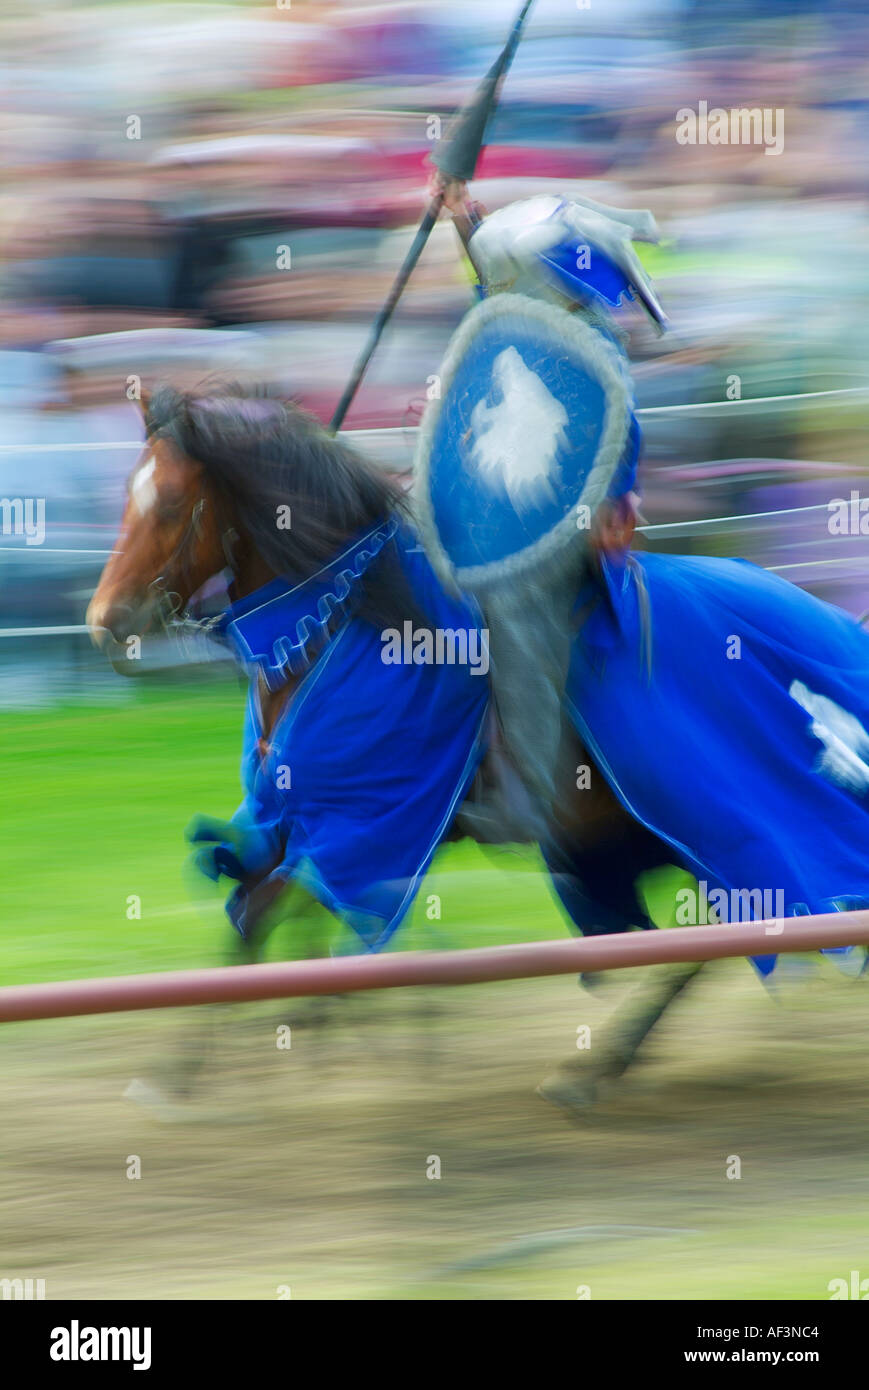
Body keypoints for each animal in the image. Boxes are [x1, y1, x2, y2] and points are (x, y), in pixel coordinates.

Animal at [87, 382, 697, 1109]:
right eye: (127, 494)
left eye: (174, 503)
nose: (105, 622)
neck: (333, 631)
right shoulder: (290, 822)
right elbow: (263, 923)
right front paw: (321, 1023)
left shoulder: (358, 828)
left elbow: (261, 921)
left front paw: (178, 1074)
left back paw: (594, 1066)